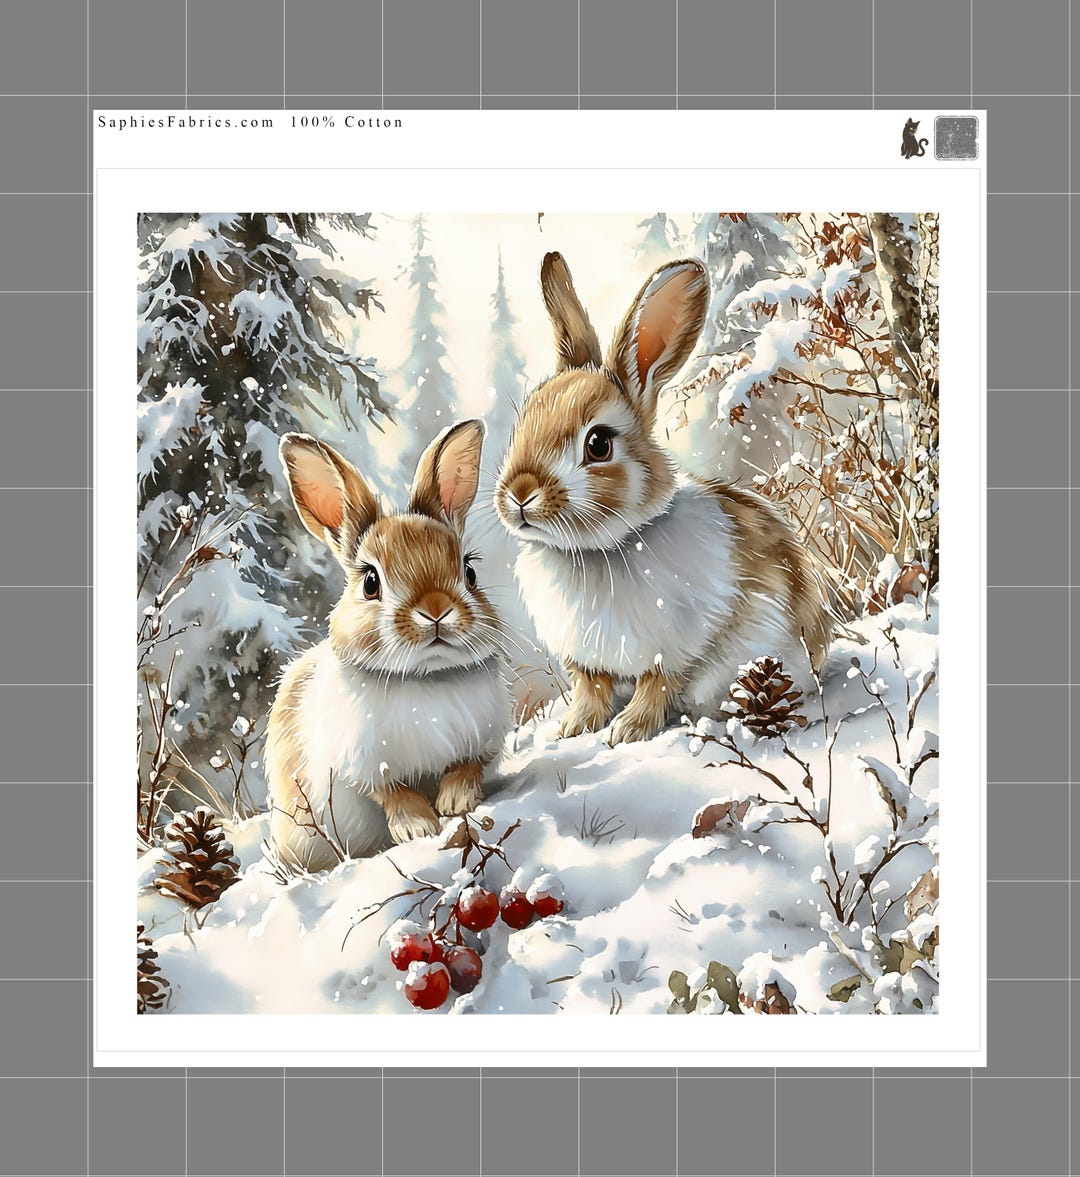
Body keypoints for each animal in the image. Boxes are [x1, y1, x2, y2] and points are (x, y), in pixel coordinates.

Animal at [266, 419, 512, 873]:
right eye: (370, 582)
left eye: (469, 571)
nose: (436, 610)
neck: (426, 678)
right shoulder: (361, 765)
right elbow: (393, 791)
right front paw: (417, 827)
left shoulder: (484, 740)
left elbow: (467, 766)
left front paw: (455, 802)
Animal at [493, 252, 831, 746]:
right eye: (522, 426)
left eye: (598, 445)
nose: (519, 494)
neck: (599, 549)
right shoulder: (587, 660)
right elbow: (591, 687)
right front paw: (574, 728)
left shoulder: (676, 645)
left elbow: (658, 684)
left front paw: (628, 731)